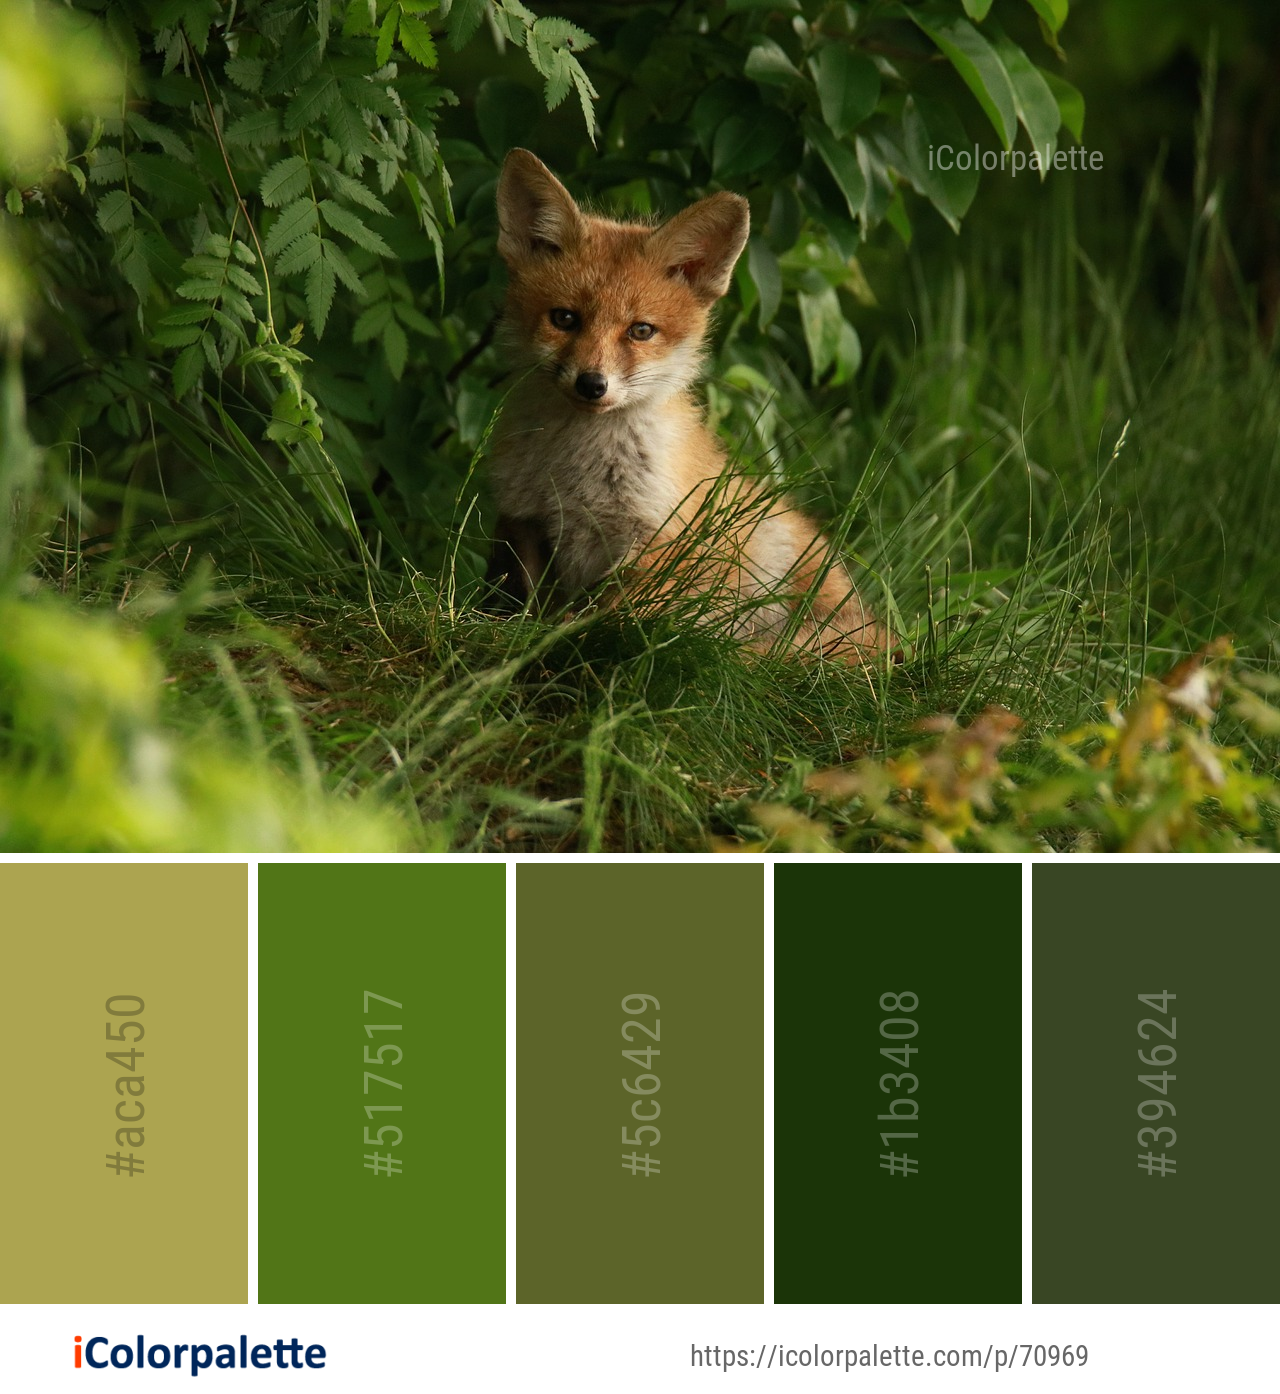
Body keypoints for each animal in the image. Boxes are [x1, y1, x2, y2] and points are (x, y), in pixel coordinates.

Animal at [484, 148, 892, 664]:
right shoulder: (524, 519)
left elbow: (608, 616)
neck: (576, 471)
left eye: (641, 330)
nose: (592, 384)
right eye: (564, 319)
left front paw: (566, 638)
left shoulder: (659, 539)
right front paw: (521, 633)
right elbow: (527, 601)